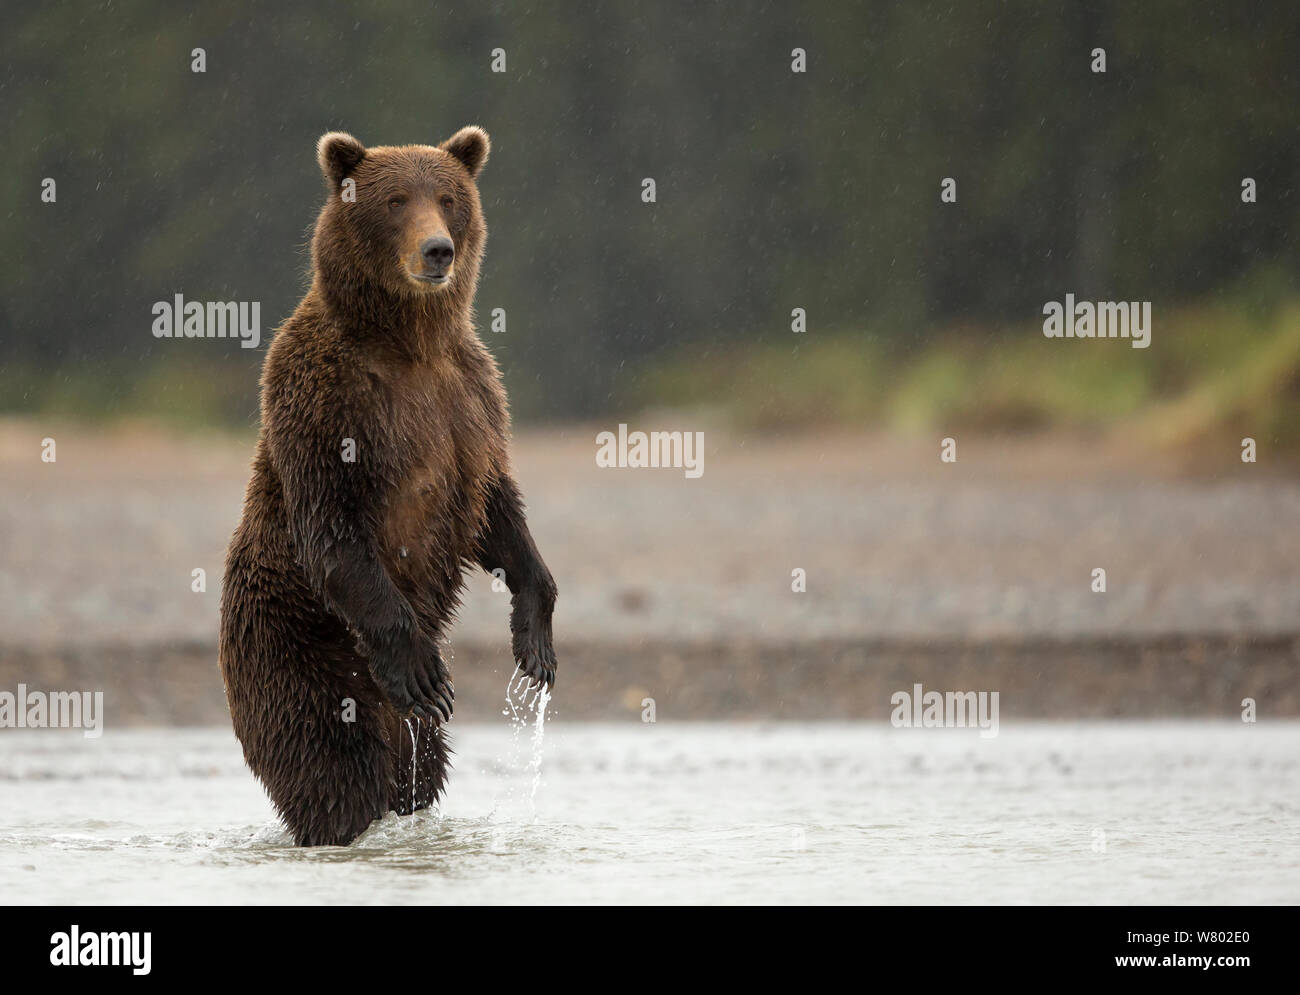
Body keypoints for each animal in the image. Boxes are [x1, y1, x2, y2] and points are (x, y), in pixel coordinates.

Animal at [218, 126, 558, 847]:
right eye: (397, 200)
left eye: (449, 198)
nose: (438, 250)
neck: (409, 340)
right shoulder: (325, 399)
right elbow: (332, 523)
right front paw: (422, 666)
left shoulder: (472, 398)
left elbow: (494, 507)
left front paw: (535, 637)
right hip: (301, 653)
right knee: (335, 764)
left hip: (405, 727)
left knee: (420, 767)